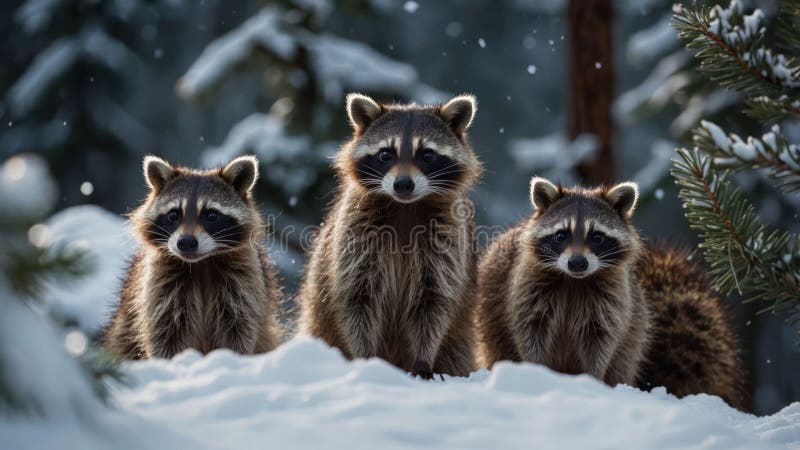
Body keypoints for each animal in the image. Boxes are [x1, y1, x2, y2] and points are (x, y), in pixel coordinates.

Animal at [104, 155, 282, 359]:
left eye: (211, 215)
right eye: (173, 214)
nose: (186, 242)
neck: (200, 264)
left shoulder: (244, 283)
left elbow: (239, 328)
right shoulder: (160, 284)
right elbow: (164, 332)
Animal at [297, 93, 482, 378]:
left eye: (427, 155)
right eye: (386, 154)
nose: (403, 184)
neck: (405, 206)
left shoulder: (446, 241)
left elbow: (434, 302)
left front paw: (423, 359)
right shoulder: (355, 236)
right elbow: (356, 300)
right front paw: (364, 357)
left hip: (460, 340)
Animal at [476, 177, 744, 408]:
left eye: (597, 237)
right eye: (561, 235)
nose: (577, 263)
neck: (574, 281)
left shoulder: (612, 297)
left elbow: (601, 339)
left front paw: (593, 380)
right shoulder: (528, 287)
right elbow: (530, 329)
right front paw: (536, 372)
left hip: (636, 331)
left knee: (625, 355)